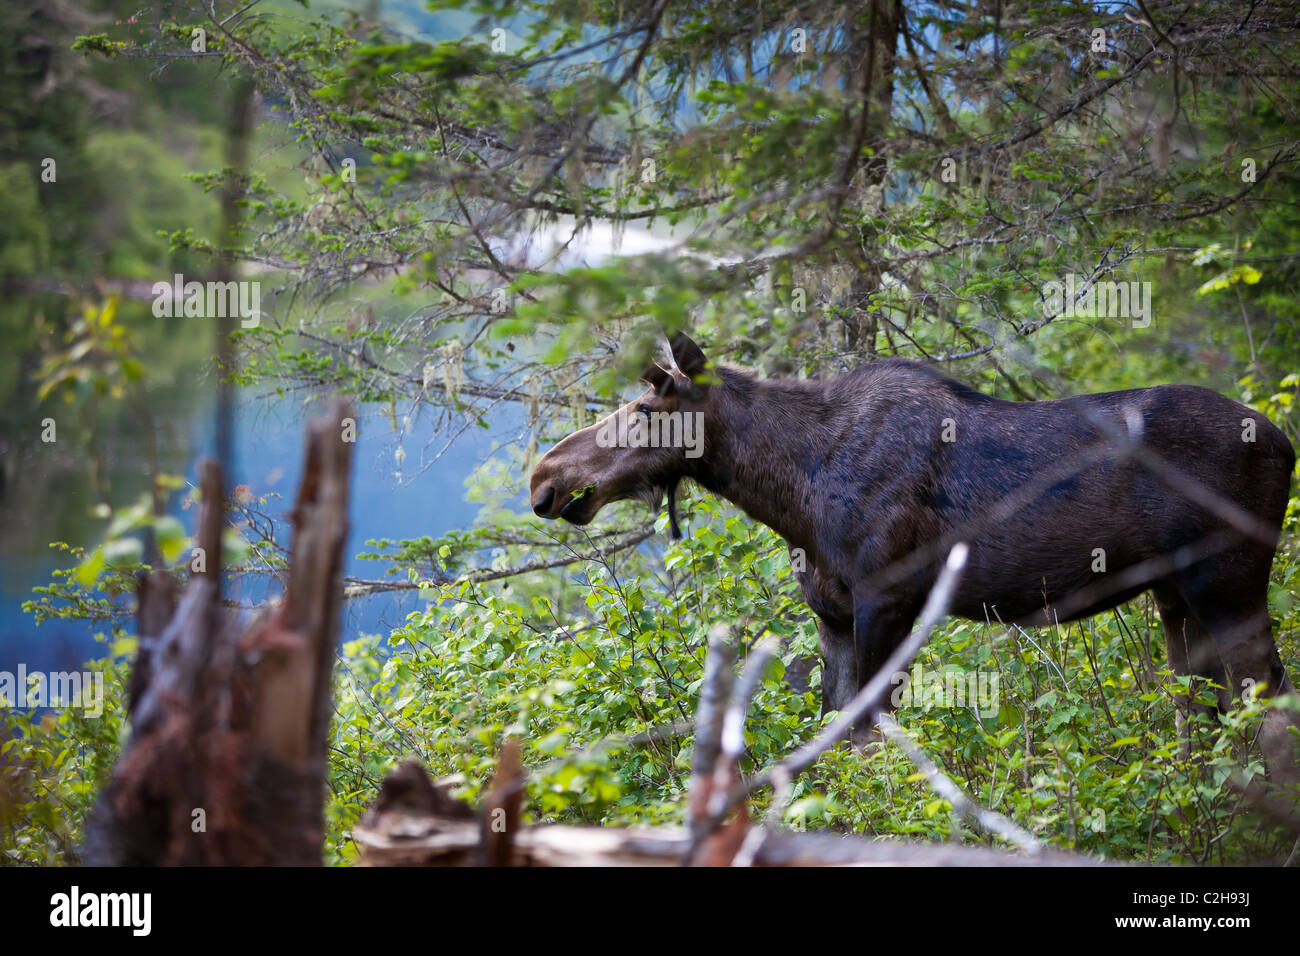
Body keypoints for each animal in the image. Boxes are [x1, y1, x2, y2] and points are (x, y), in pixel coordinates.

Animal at [529, 333, 1300, 781]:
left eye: (645, 408)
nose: (545, 477)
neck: (793, 494)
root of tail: (1284, 441)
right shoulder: (832, 614)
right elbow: (834, 732)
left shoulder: (888, 597)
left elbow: (871, 736)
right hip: (1176, 594)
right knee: (1202, 706)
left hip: (1228, 578)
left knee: (1266, 694)